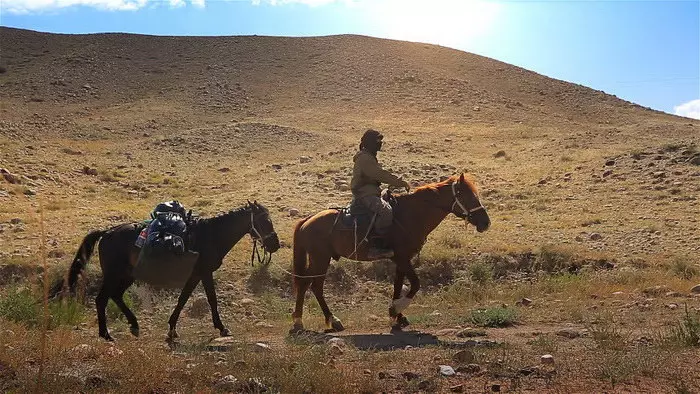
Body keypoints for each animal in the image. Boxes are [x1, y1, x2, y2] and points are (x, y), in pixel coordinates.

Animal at [53, 202, 280, 340]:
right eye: (265, 221)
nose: (275, 245)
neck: (211, 236)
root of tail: (107, 232)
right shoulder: (203, 273)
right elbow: (207, 299)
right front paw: (220, 328)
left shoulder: (197, 275)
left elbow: (186, 299)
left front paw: (173, 328)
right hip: (113, 274)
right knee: (102, 299)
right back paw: (106, 334)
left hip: (127, 274)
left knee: (116, 295)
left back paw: (134, 325)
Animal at [292, 174, 490, 330]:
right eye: (468, 196)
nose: (485, 222)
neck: (411, 214)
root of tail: (307, 220)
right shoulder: (402, 258)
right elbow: (416, 283)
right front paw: (396, 309)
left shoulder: (400, 260)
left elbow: (398, 285)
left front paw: (397, 316)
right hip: (320, 258)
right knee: (314, 286)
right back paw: (327, 320)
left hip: (318, 259)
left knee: (307, 284)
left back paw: (302, 320)